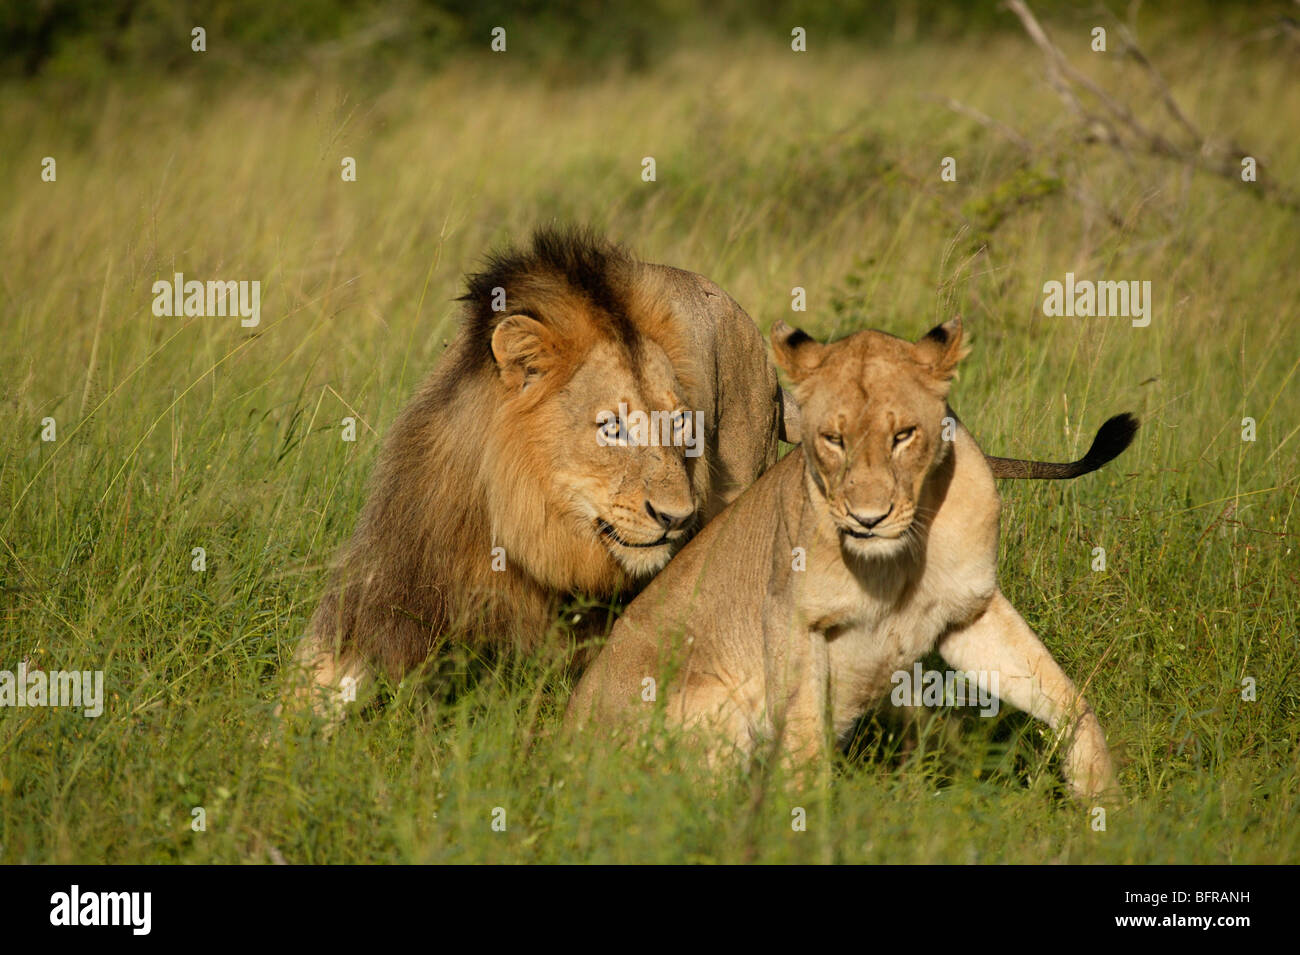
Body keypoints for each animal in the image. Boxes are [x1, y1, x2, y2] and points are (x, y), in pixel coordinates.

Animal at [566, 317, 1128, 800]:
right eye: (833, 440)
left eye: (903, 435)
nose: (868, 517)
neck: (900, 557)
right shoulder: (790, 616)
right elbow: (803, 748)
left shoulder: (970, 612)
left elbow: (1065, 694)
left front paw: (1102, 797)